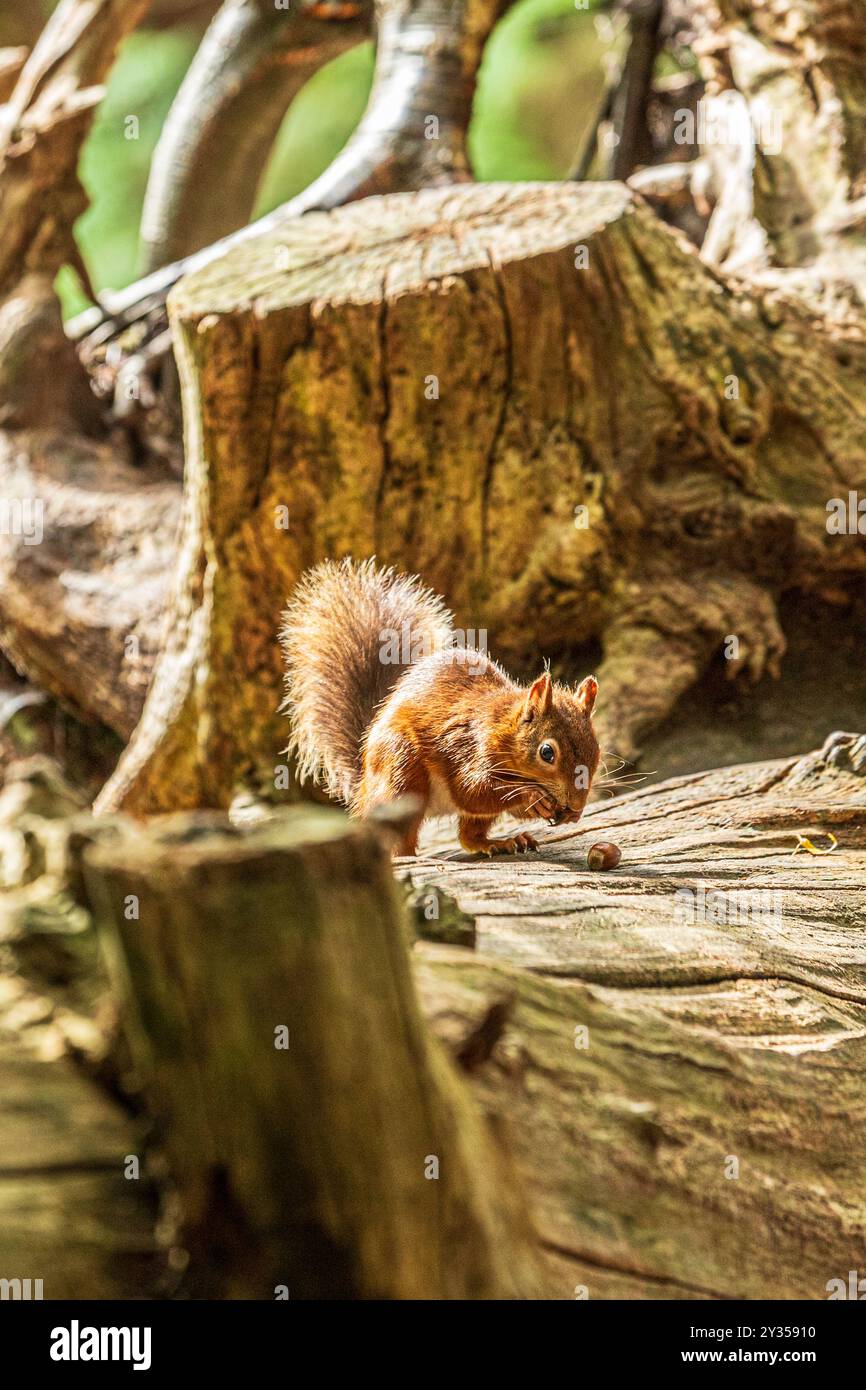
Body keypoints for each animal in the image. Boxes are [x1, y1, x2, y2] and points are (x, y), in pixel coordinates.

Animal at [280, 558, 600, 857]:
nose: (575, 804)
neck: (502, 727)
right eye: (547, 753)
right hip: (401, 774)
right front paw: (533, 797)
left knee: (468, 836)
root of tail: (363, 789)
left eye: (596, 750)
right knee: (400, 839)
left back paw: (500, 842)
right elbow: (474, 790)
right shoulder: (466, 747)